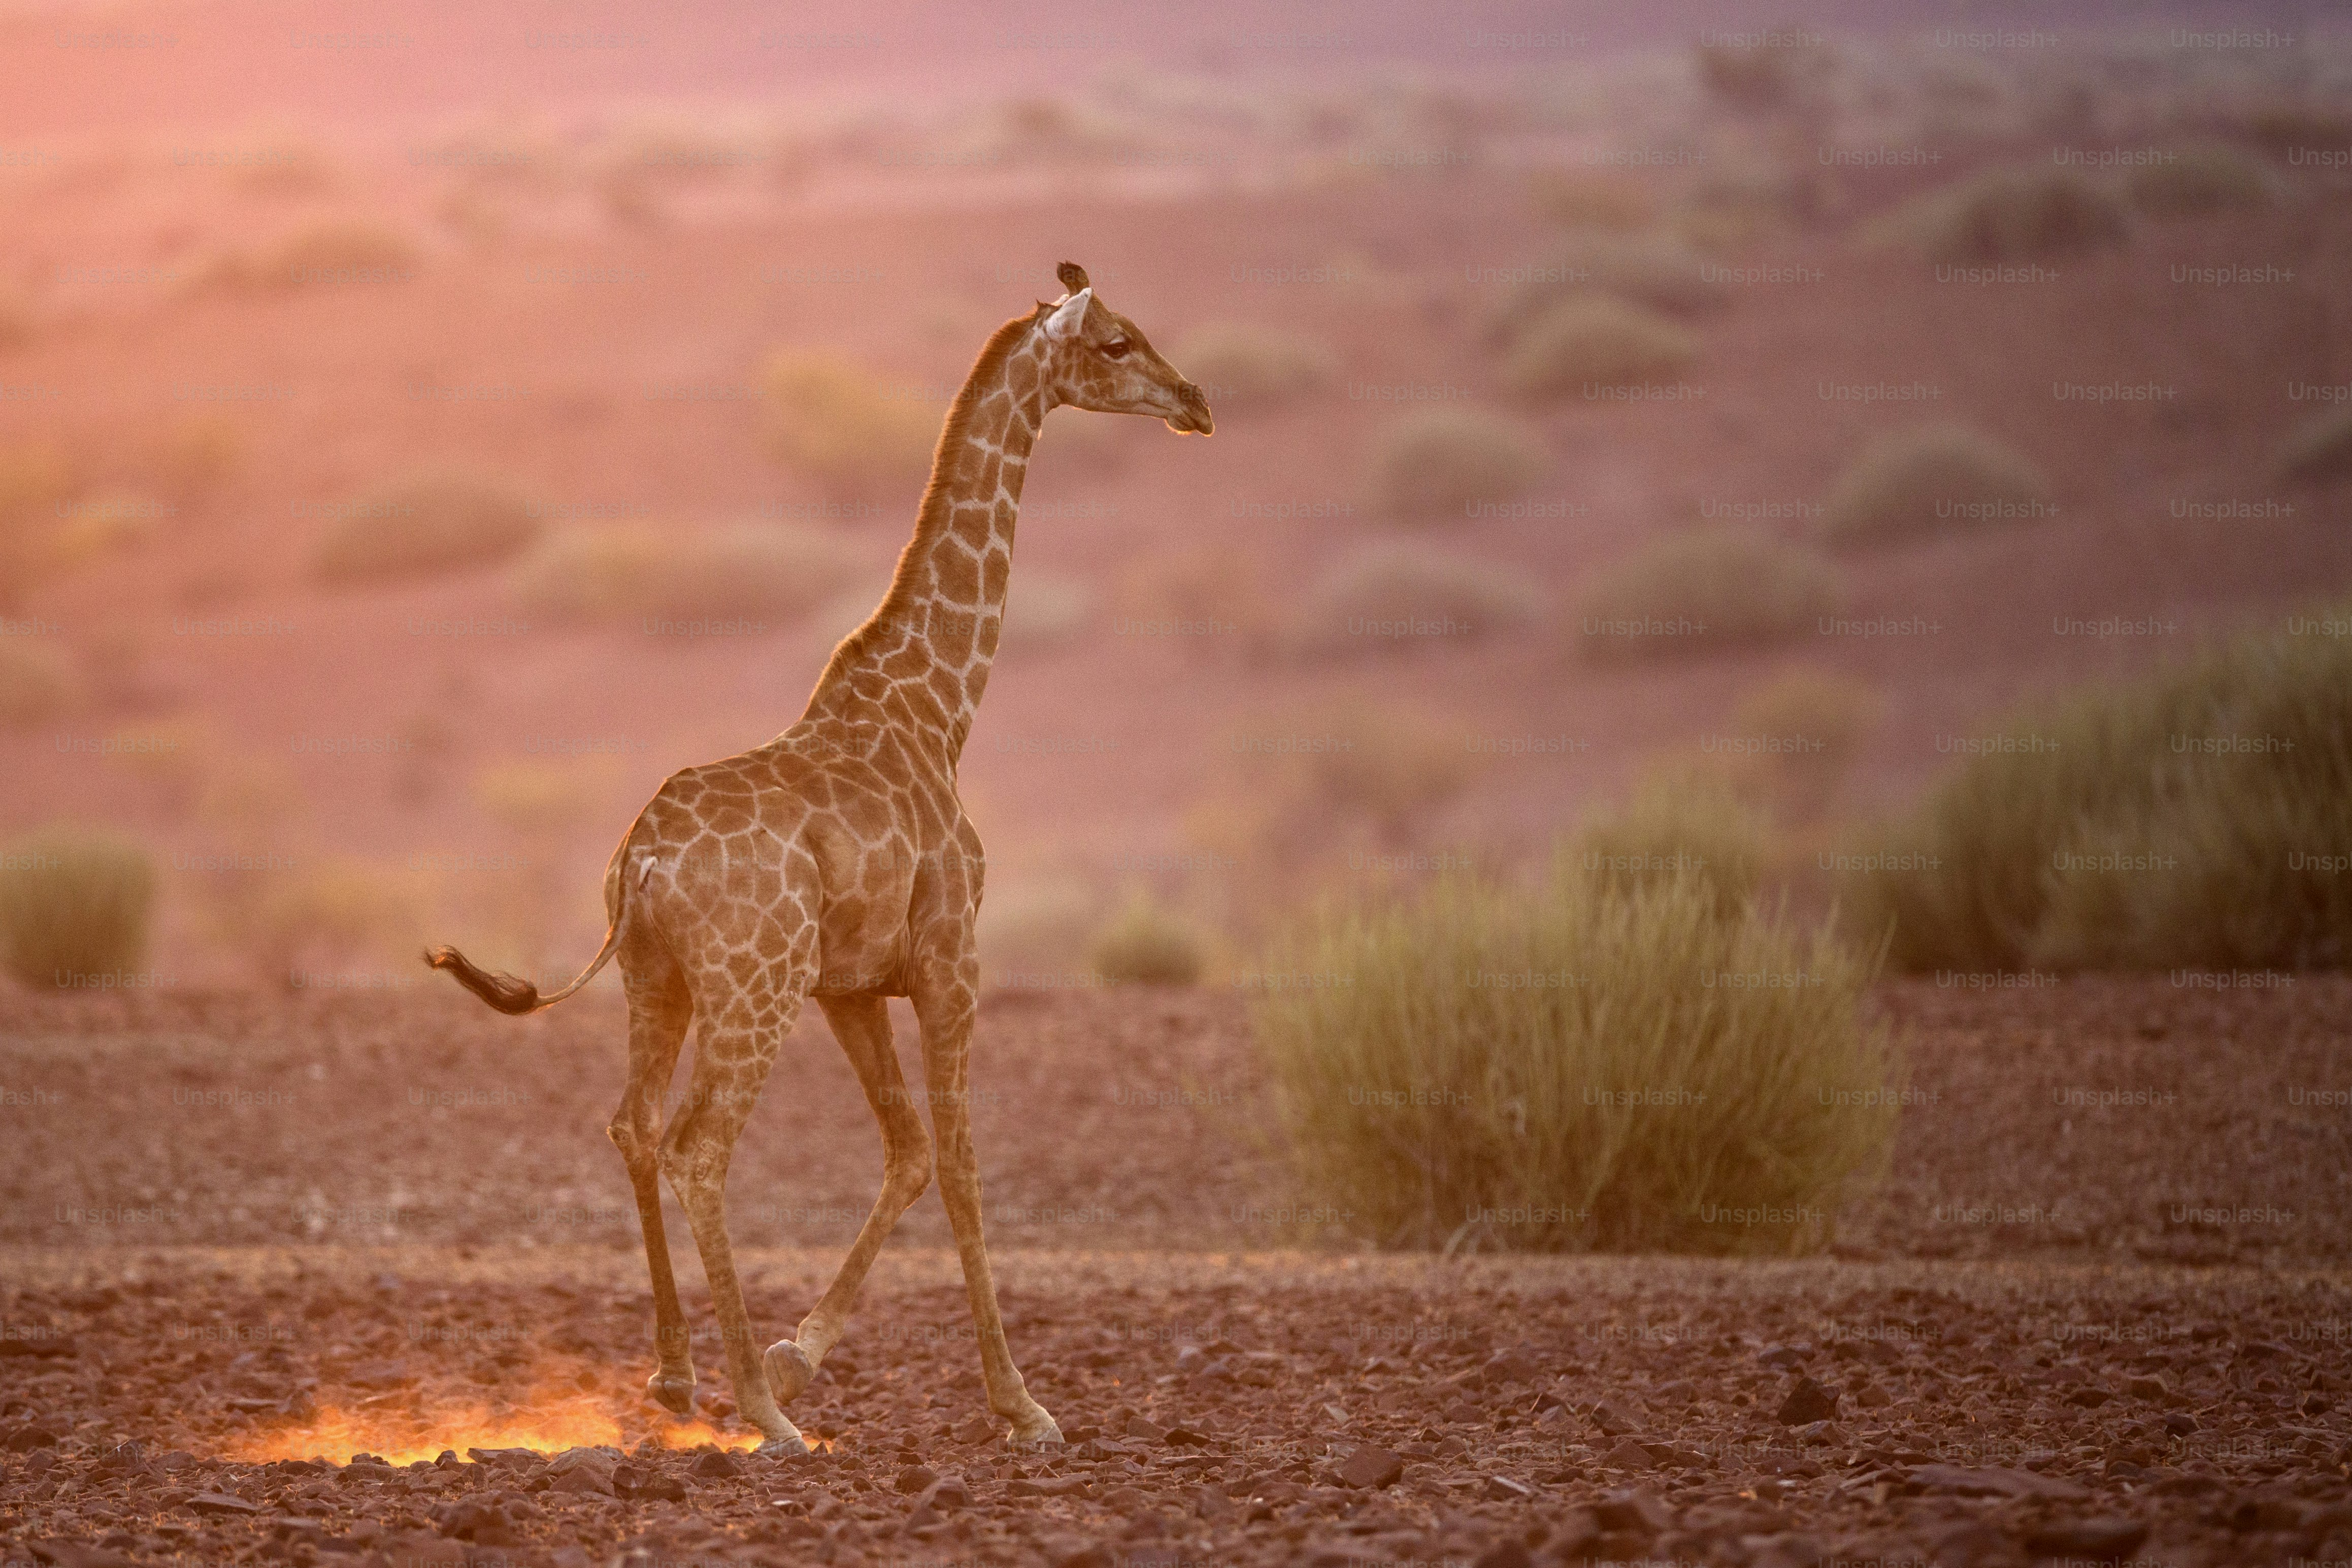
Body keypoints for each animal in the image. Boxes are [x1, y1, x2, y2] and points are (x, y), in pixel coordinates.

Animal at [425, 262, 1212, 1453]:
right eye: (1117, 342)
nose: (1195, 400)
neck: (941, 710)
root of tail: (641, 860)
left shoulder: (851, 985)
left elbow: (910, 1148)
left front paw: (805, 1353)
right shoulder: (949, 957)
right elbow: (963, 1158)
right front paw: (1020, 1402)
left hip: (660, 978)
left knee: (634, 1124)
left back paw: (678, 1374)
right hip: (753, 989)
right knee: (701, 1145)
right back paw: (757, 1411)